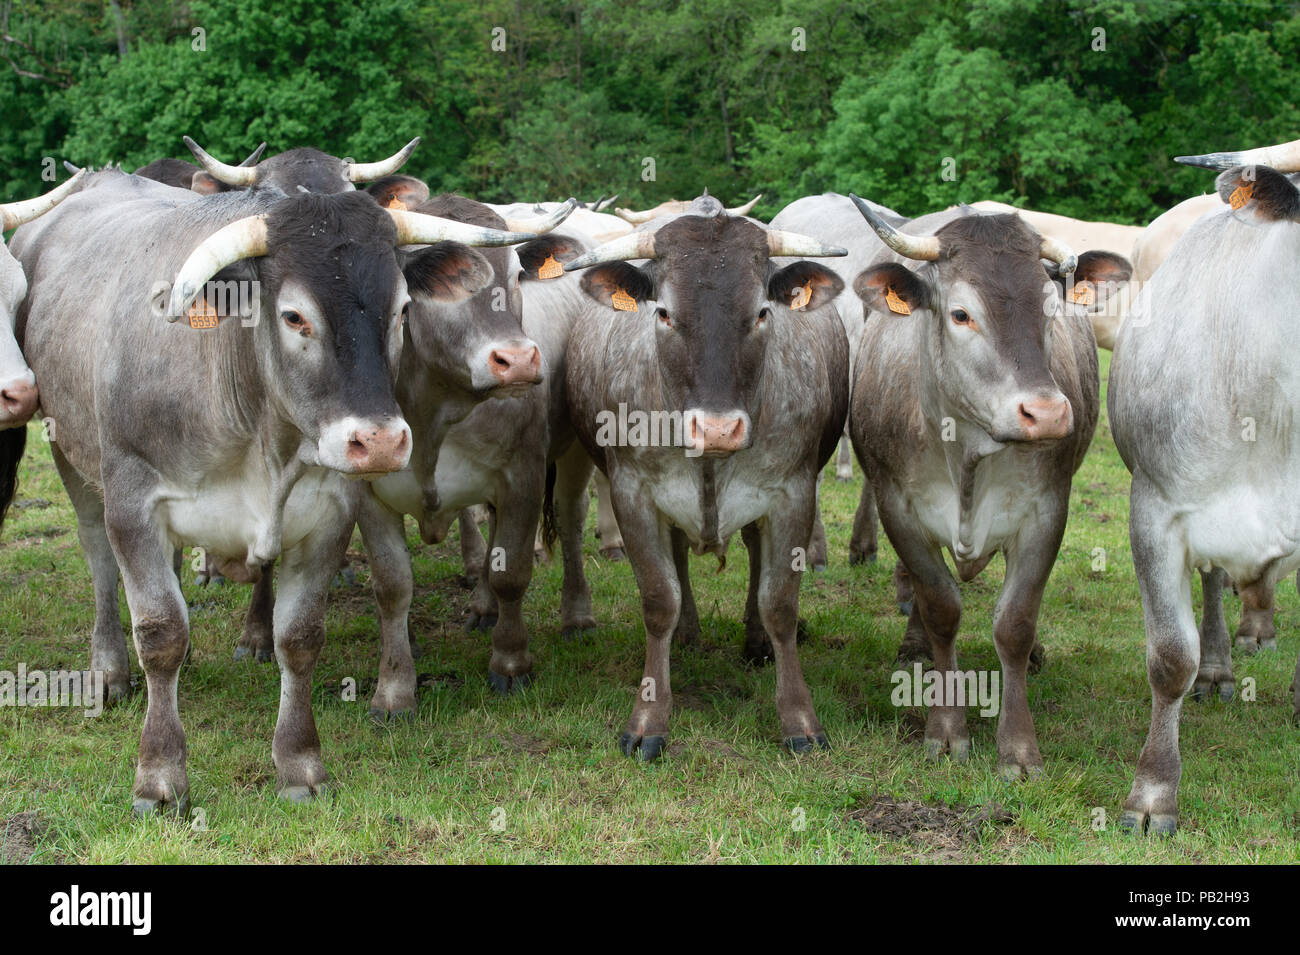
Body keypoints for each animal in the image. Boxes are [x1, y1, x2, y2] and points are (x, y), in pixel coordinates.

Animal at [6, 169, 537, 813]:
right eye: (294, 317)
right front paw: (159, 777)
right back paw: (109, 671)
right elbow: (159, 633)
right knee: (100, 563)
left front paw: (300, 764)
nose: (380, 442)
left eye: (402, 310)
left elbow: (300, 637)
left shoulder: (330, 513)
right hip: (73, 458)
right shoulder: (133, 503)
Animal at [562, 203, 849, 758]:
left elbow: (780, 602)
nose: (716, 428)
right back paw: (688, 633)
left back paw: (755, 642)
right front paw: (648, 719)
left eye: (762, 312)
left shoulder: (794, 494)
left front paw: (799, 719)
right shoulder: (632, 491)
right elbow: (660, 599)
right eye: (663, 313)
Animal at [845, 195, 1130, 778]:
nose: (1046, 413)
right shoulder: (899, 509)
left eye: (1051, 309)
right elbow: (940, 607)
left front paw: (1018, 749)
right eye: (961, 314)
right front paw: (946, 730)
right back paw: (915, 647)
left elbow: (1014, 622)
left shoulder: (1046, 513)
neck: (968, 454)